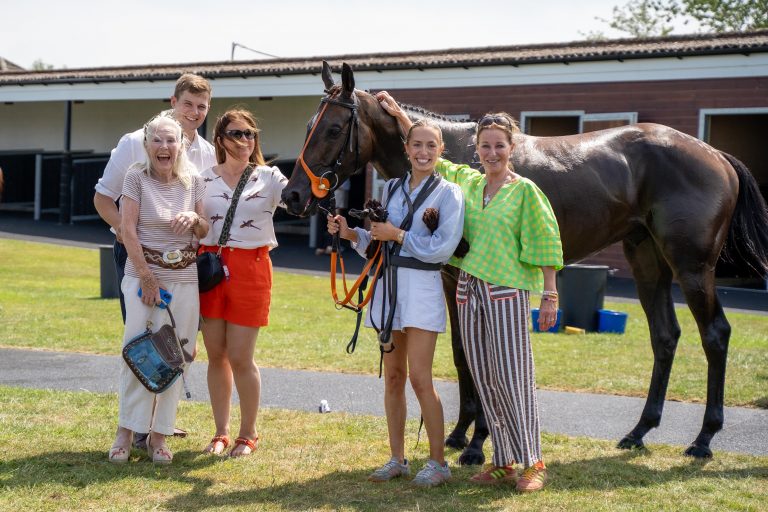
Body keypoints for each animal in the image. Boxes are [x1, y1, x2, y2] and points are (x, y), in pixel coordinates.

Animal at [281, 61, 768, 462]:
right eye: (306, 125)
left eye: (334, 128)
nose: (293, 195)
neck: (452, 157)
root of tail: (715, 154)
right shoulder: (450, 280)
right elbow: (462, 354)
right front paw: (459, 434)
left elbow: (479, 353)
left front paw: (477, 443)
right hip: (646, 260)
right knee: (665, 337)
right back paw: (639, 432)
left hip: (691, 268)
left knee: (715, 335)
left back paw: (703, 439)